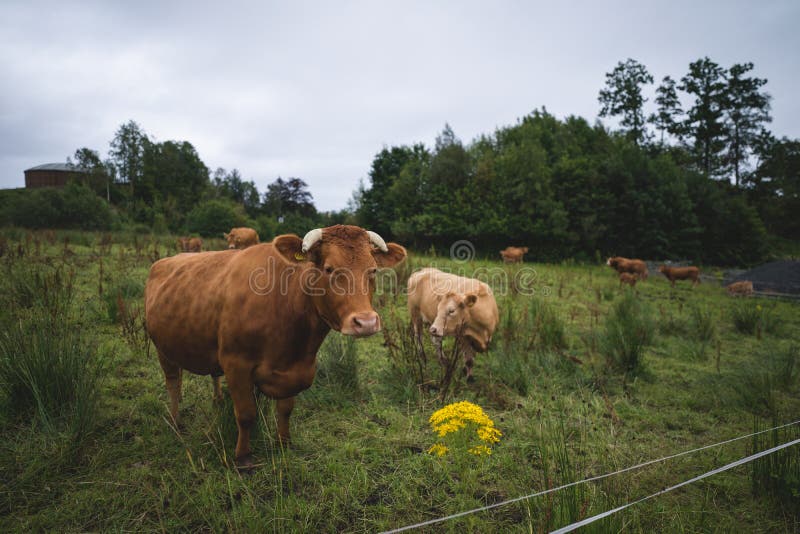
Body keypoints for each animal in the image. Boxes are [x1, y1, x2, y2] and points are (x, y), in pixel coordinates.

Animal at [145, 225, 406, 469]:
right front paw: (243, 457)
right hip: (162, 348)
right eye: (329, 269)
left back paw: (217, 399)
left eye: (373, 270)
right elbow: (246, 414)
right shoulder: (235, 363)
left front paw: (284, 443)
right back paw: (175, 421)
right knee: (173, 384)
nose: (366, 322)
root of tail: (166, 260)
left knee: (211, 375)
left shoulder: (294, 372)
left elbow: (286, 409)